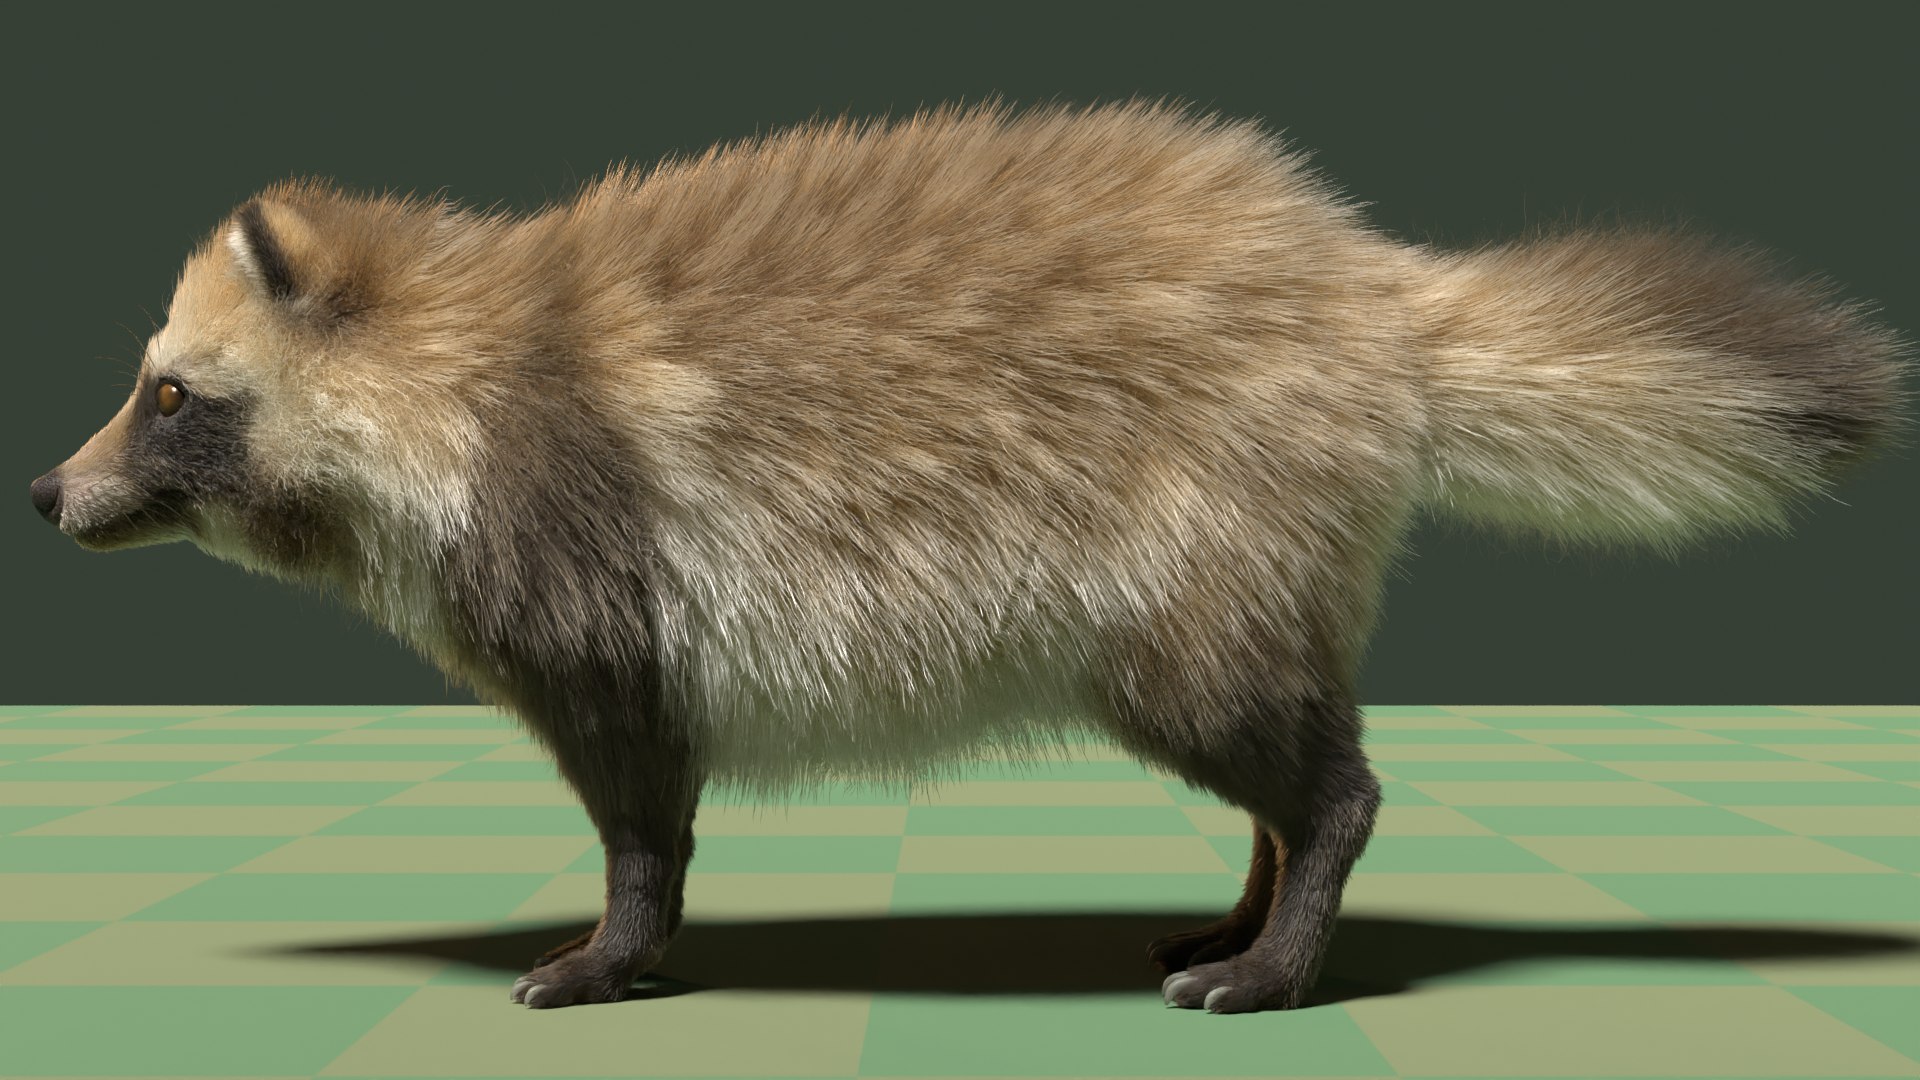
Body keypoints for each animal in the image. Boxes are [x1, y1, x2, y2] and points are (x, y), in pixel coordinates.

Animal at [30, 100, 1908, 1012]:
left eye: (168, 392)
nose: (48, 495)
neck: (475, 360)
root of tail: (1366, 289)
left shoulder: (595, 570)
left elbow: (641, 814)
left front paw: (603, 957)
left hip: (1186, 558)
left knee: (1328, 778)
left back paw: (1275, 959)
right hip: (1253, 571)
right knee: (1288, 761)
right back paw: (1232, 912)